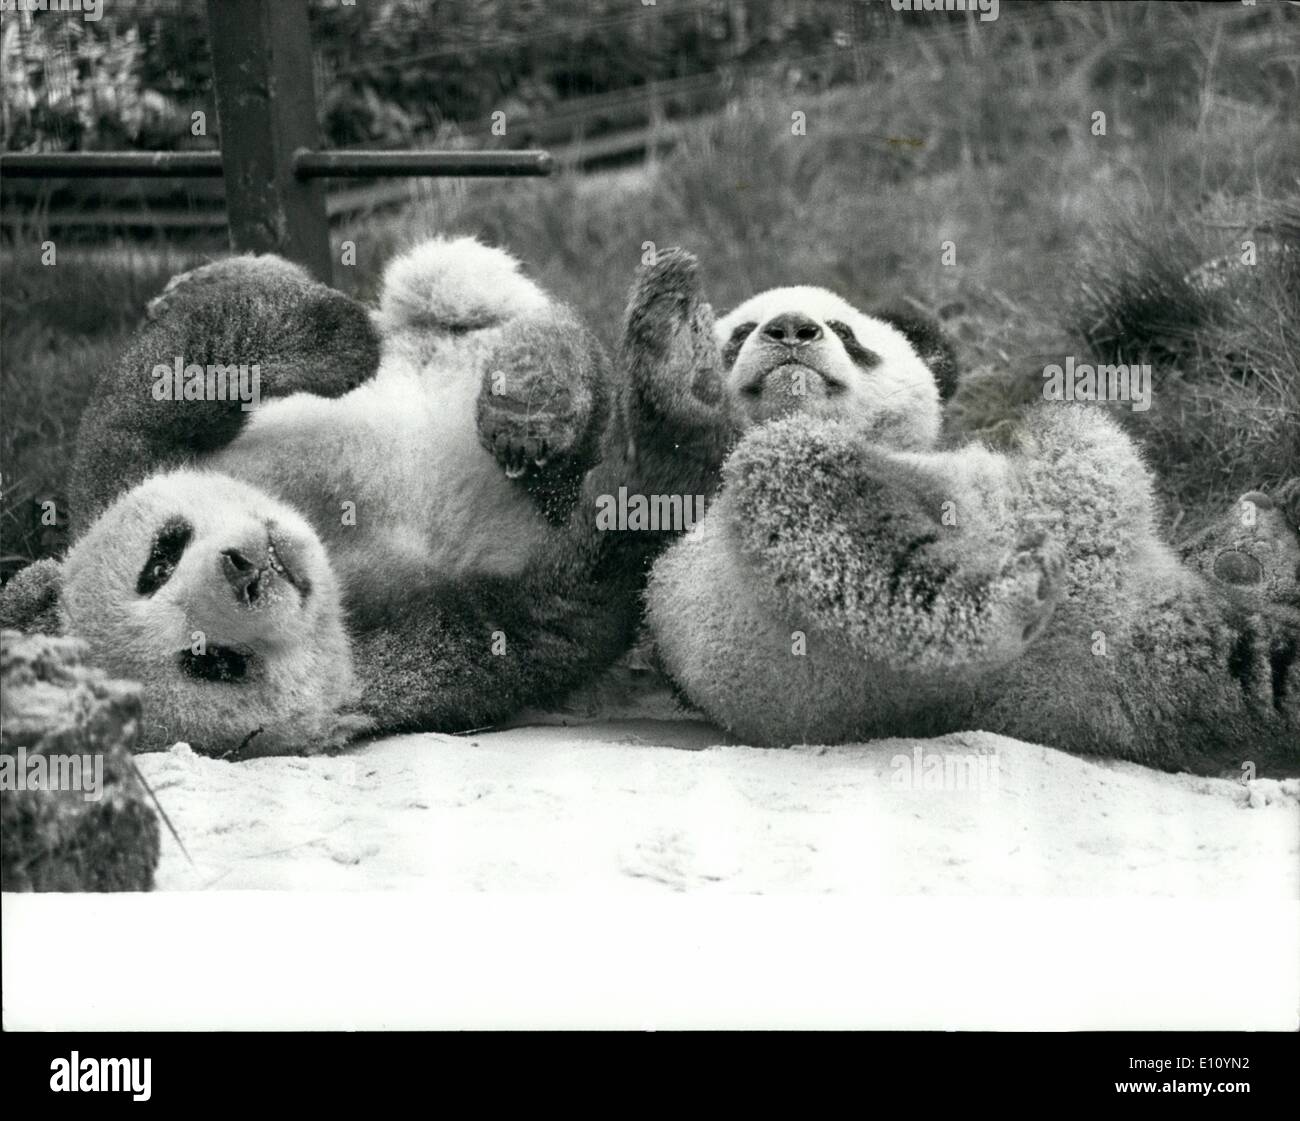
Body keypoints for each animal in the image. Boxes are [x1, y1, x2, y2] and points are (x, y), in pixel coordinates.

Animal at [0, 241, 731, 756]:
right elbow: (564, 600)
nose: (246, 568)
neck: (326, 539)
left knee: (480, 299)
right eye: (211, 662)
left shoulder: (117, 475)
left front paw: (331, 340)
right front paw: (669, 429)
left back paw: (536, 396)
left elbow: (168, 376)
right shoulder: (398, 668)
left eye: (160, 559)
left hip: (461, 318)